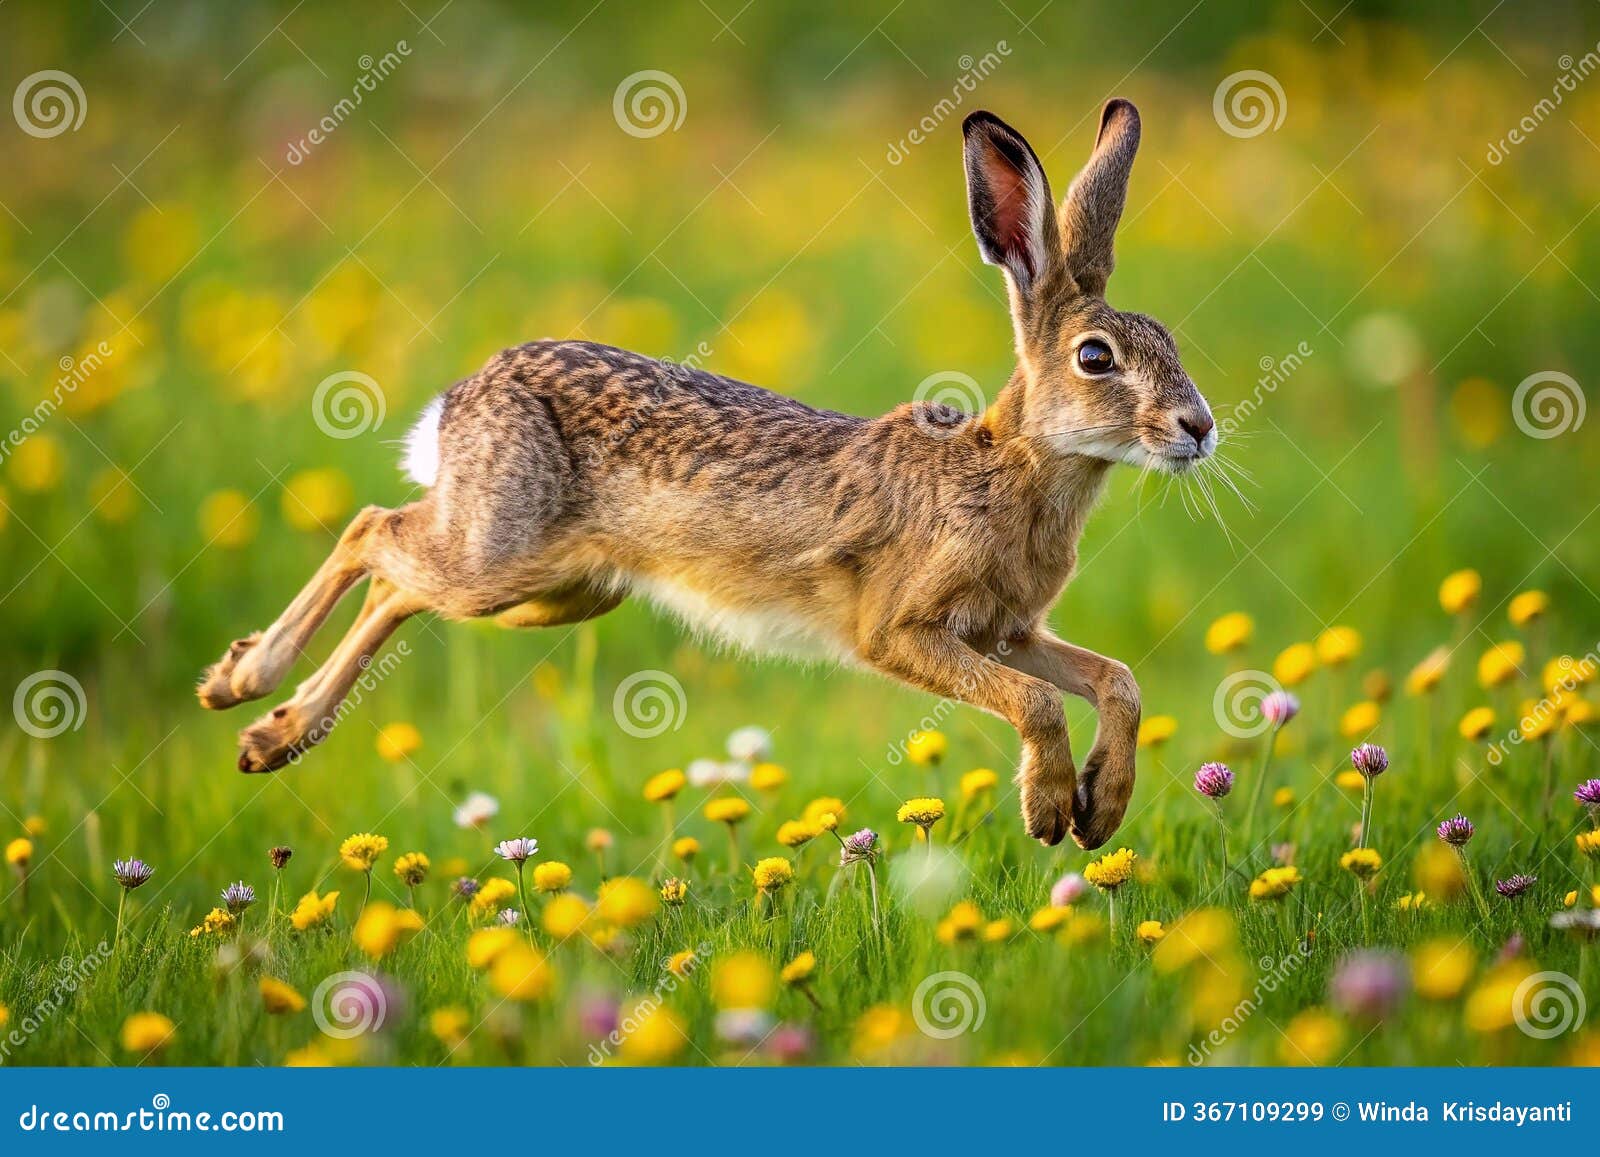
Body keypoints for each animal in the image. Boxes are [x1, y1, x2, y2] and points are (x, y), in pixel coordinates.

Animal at [197, 99, 1215, 849]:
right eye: (1095, 359)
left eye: (1171, 343)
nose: (1199, 428)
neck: (1015, 464)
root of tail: (467, 396)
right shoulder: (902, 629)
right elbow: (1038, 701)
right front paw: (1049, 811)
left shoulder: (1007, 630)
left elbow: (1116, 680)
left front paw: (1102, 807)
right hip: (498, 557)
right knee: (371, 530)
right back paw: (243, 686)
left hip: (556, 591)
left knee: (395, 582)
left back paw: (271, 732)